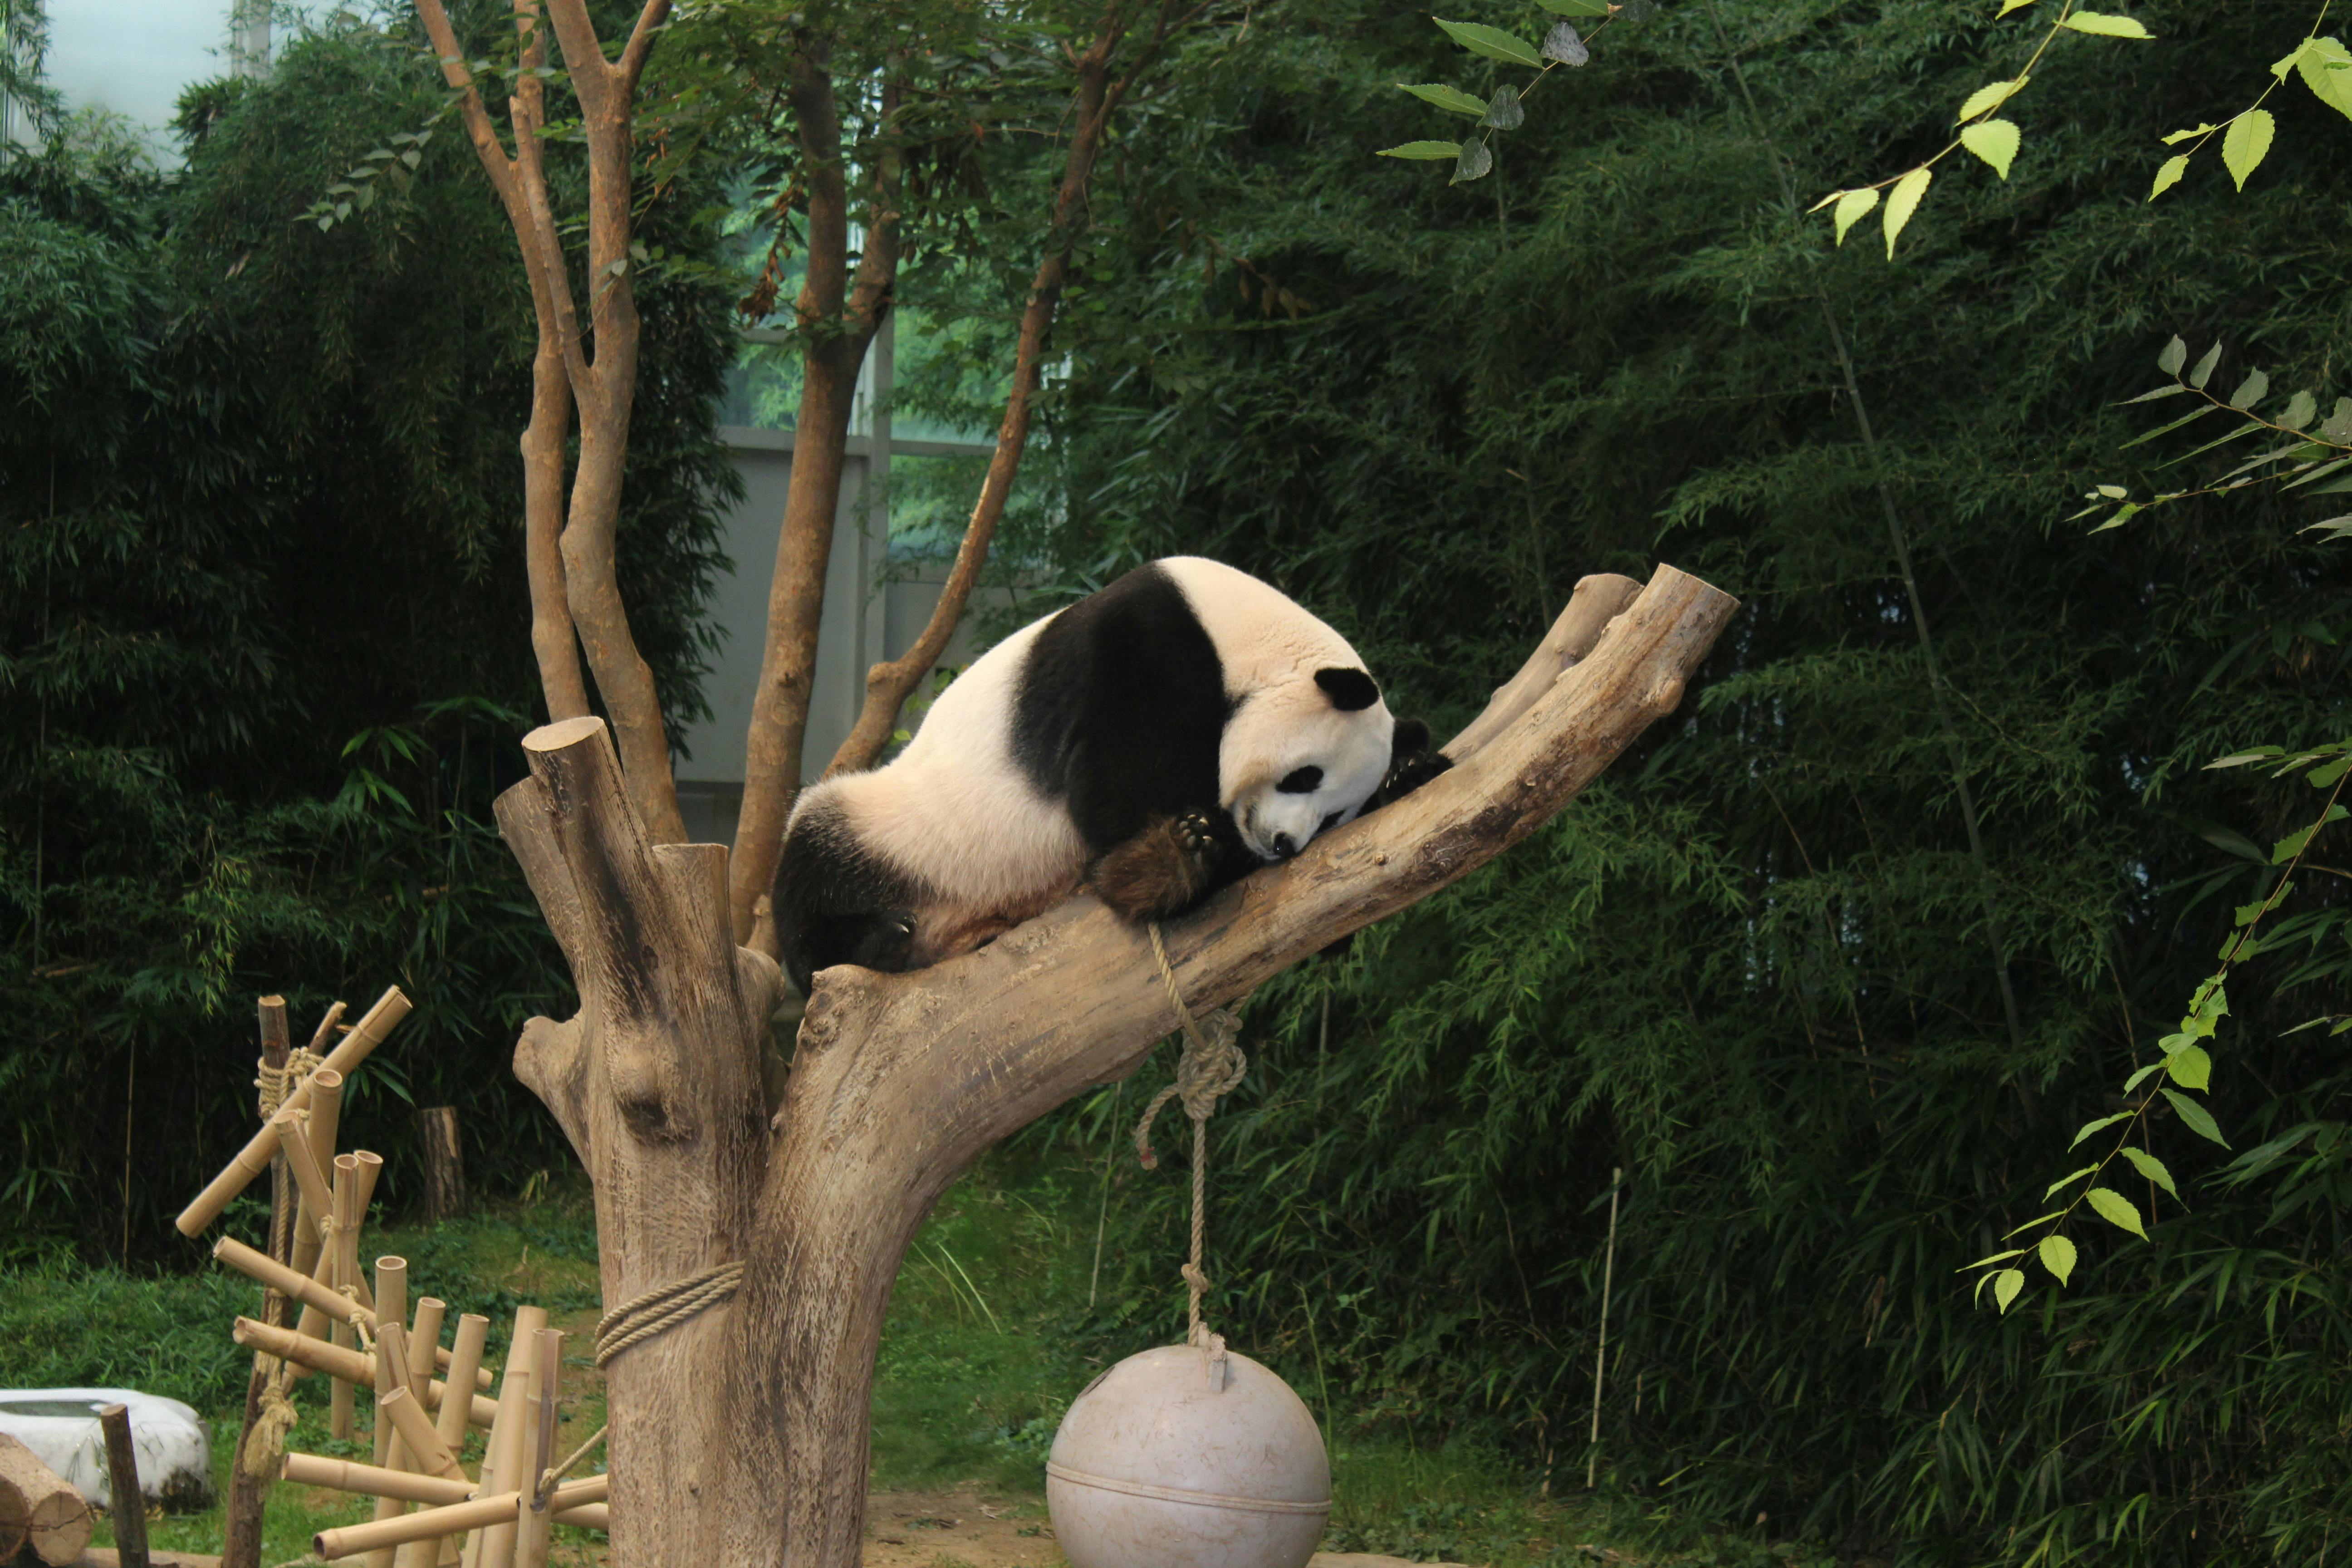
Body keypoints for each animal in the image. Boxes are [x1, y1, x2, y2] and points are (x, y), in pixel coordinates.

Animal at [772, 556, 1449, 995]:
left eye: (1336, 817)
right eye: (1305, 777)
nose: (1283, 845)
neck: (1250, 641)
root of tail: (944, 935)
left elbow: (1329, 924)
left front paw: (1412, 768)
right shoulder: (1146, 649)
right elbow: (1112, 795)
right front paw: (1185, 848)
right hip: (898, 824)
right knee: (815, 861)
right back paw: (876, 940)